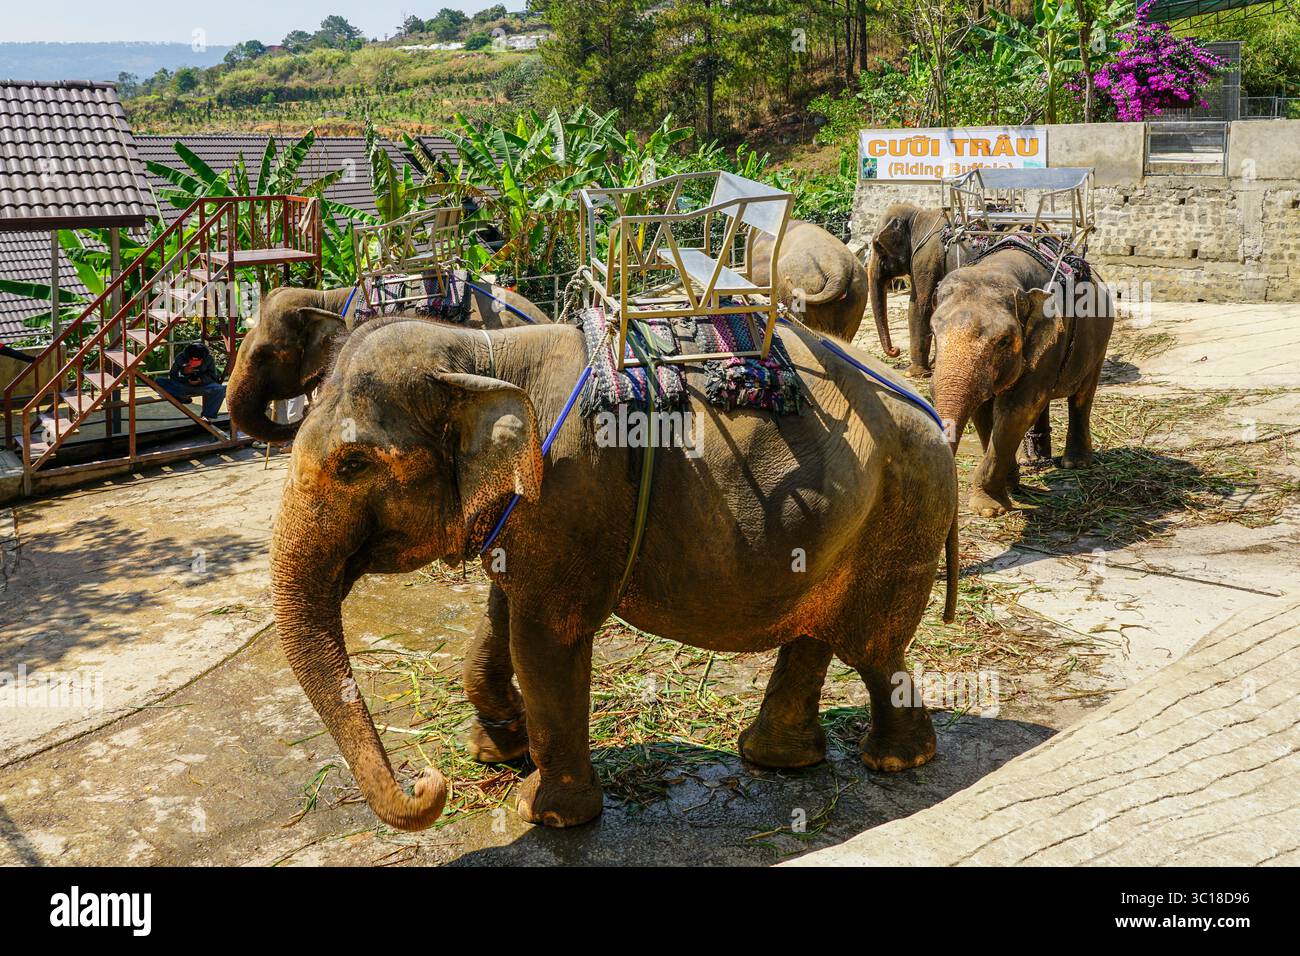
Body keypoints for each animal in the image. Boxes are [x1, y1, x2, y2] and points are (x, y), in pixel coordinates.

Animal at [270, 314, 959, 830]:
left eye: (353, 464)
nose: (427, 782)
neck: (483, 356)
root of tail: (932, 412)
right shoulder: (529, 512)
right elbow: (499, 616)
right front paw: (498, 749)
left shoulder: (570, 491)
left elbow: (542, 639)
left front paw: (544, 813)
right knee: (818, 634)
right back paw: (778, 759)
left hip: (904, 508)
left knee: (872, 647)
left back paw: (895, 763)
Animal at [929, 247, 1114, 518]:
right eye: (933, 331)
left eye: (1004, 341)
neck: (997, 267)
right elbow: (984, 410)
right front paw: (1010, 484)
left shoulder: (1051, 337)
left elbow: (1017, 408)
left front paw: (988, 509)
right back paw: (1034, 459)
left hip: (1100, 342)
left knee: (1082, 395)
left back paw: (1075, 463)